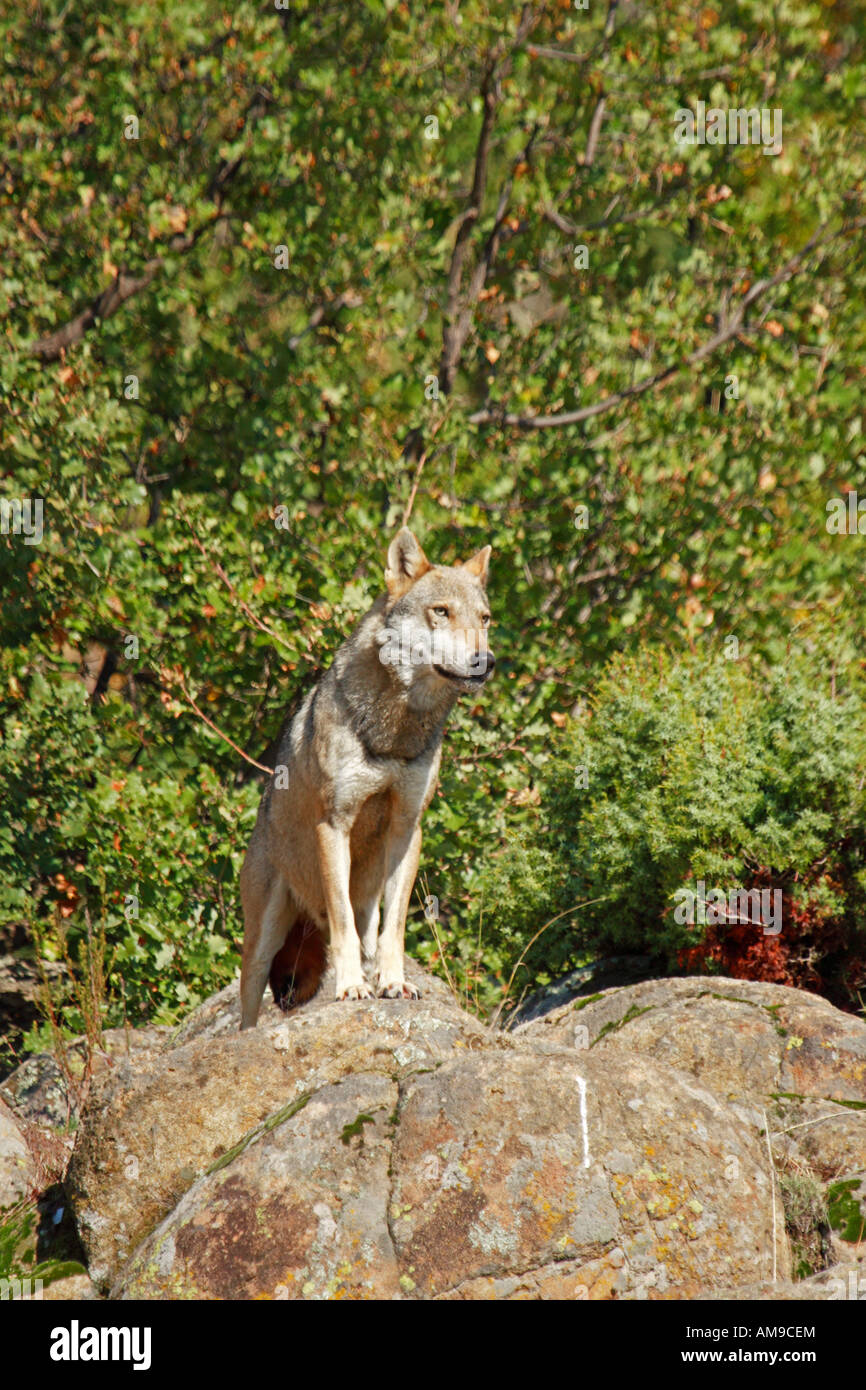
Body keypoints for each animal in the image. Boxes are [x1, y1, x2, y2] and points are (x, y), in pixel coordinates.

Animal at [239, 527, 494, 1030]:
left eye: (485, 618)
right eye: (441, 611)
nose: (486, 661)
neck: (395, 731)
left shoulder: (407, 827)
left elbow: (395, 926)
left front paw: (393, 983)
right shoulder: (334, 824)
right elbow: (341, 925)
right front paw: (352, 987)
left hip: (365, 893)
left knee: (370, 928)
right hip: (262, 941)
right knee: (249, 1008)